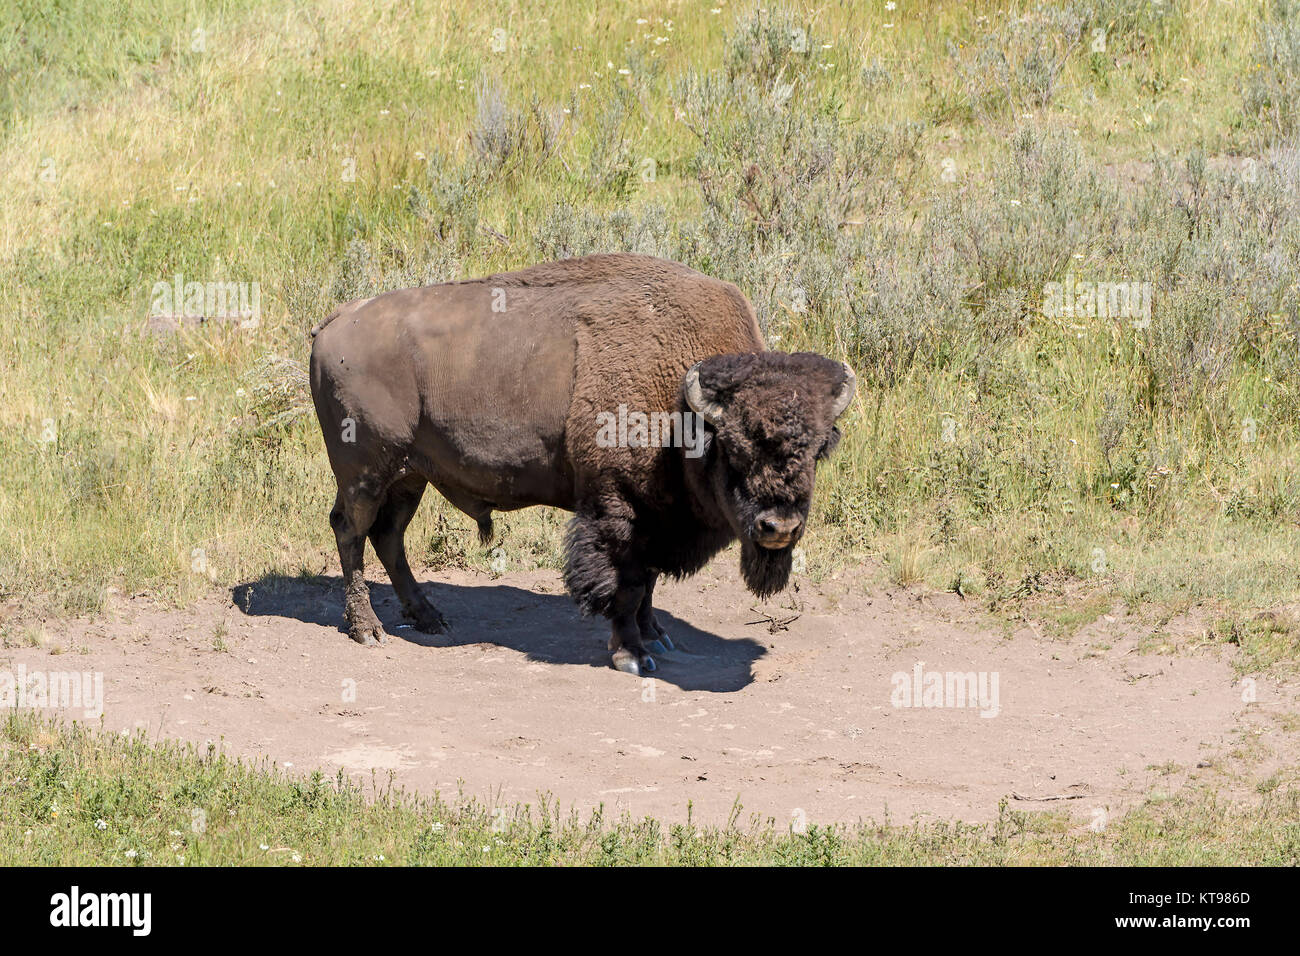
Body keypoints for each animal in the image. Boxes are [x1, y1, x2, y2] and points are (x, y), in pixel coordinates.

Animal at [309, 254, 855, 675]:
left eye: (817, 450)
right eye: (736, 447)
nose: (779, 527)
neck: (684, 411)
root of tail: (335, 322)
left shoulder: (655, 514)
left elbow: (648, 582)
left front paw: (656, 636)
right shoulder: (619, 509)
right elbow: (626, 583)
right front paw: (631, 655)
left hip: (409, 476)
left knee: (388, 536)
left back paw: (429, 618)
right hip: (366, 472)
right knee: (351, 531)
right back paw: (368, 630)